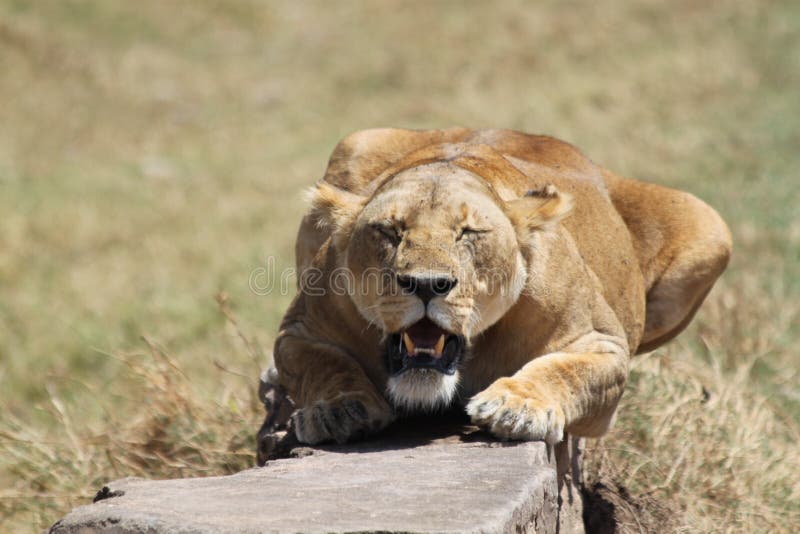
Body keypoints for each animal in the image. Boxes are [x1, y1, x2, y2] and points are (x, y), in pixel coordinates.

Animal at [272, 128, 731, 445]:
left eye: (468, 232)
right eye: (390, 230)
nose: (426, 284)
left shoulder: (603, 343)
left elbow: (567, 369)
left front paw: (516, 406)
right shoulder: (300, 330)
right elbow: (323, 363)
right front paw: (339, 410)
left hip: (711, 225)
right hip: (355, 142)